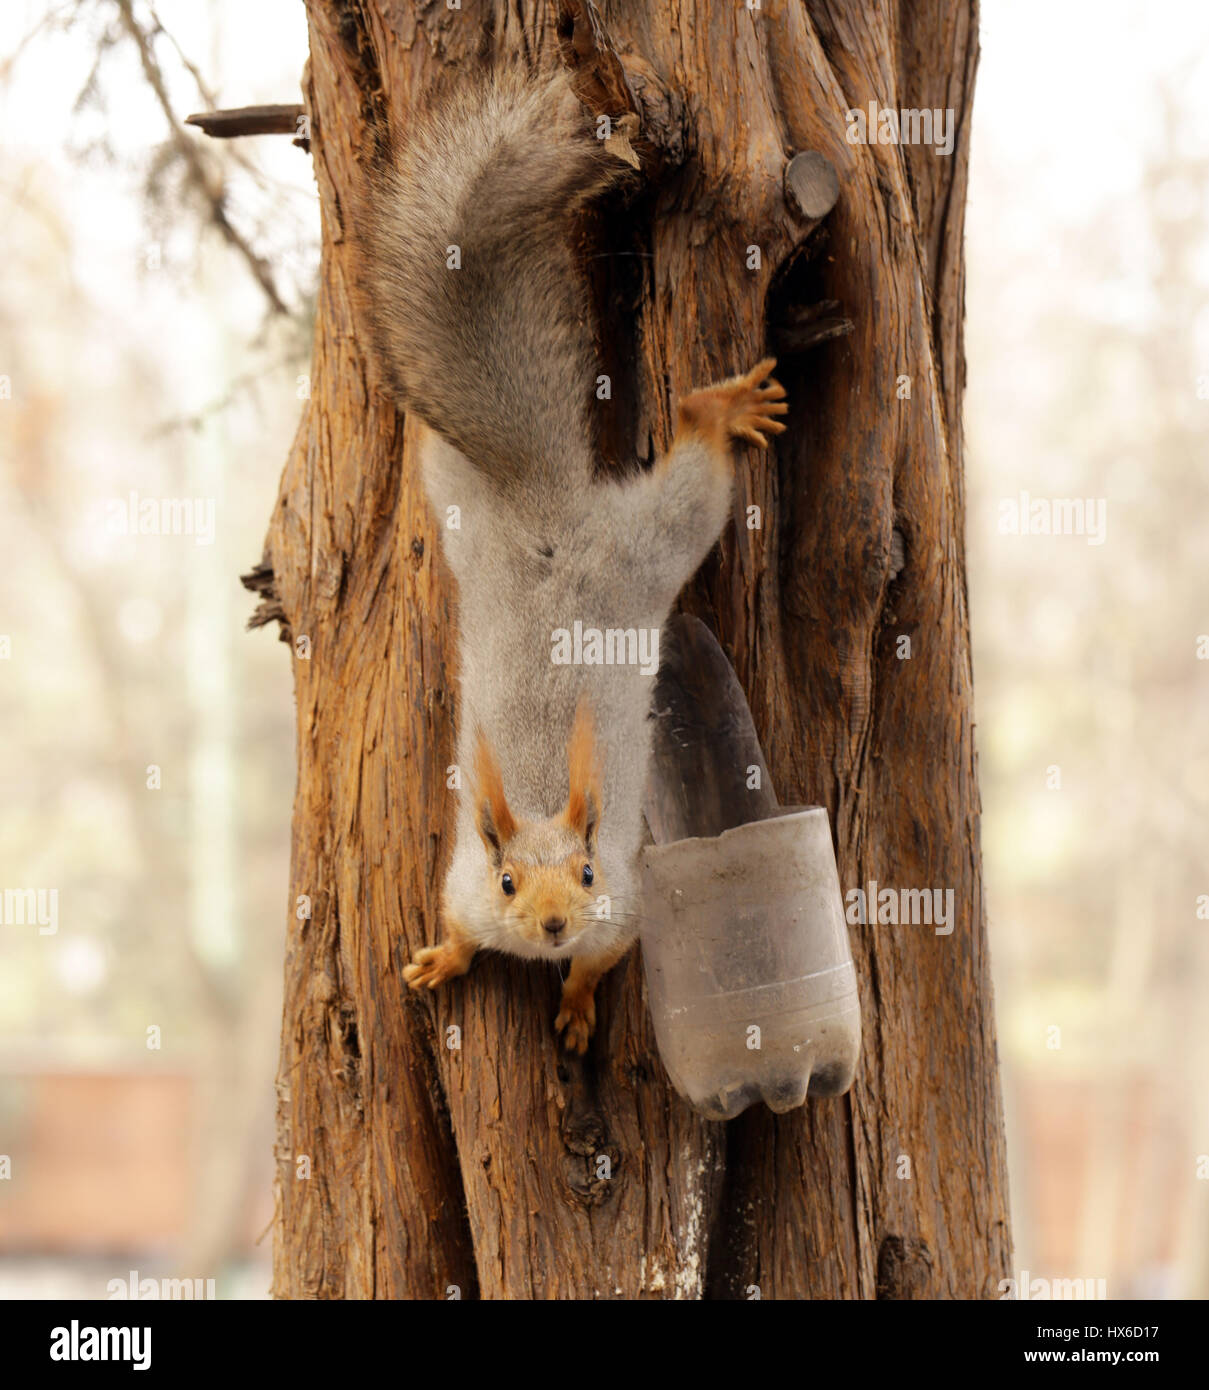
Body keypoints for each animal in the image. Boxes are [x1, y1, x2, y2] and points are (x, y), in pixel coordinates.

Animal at [361, 70, 787, 1053]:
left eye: (588, 875)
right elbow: (457, 928)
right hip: (471, 509)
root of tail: (548, 501)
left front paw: (579, 1005)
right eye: (509, 881)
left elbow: (602, 963)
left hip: (653, 543)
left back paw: (719, 411)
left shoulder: (625, 911)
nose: (553, 925)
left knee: (697, 464)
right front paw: (442, 962)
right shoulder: (462, 885)